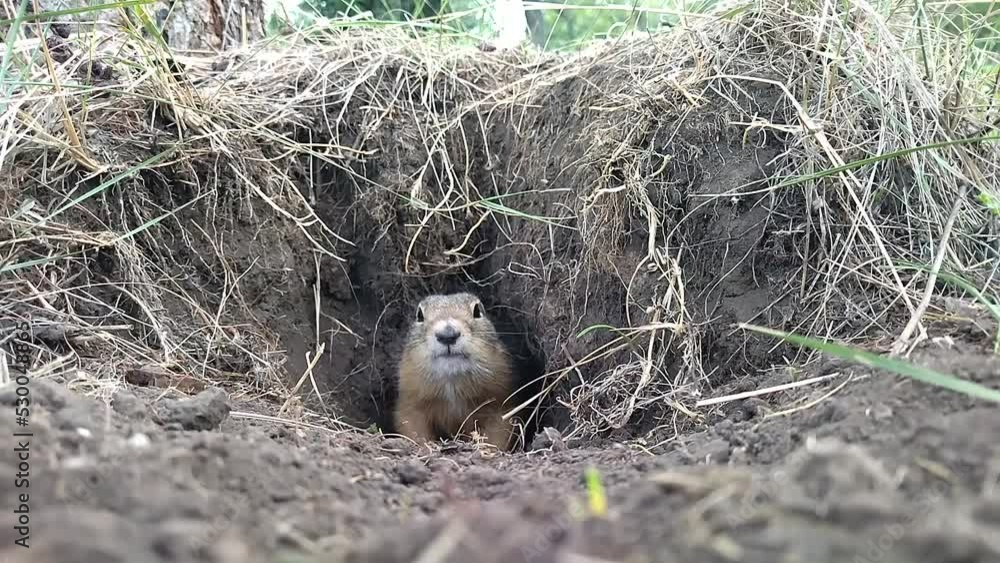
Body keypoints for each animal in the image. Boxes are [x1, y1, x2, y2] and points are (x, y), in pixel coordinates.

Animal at [393, 292, 517, 451]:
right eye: (419, 315)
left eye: (477, 311)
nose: (448, 335)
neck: (452, 384)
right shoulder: (410, 400)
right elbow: (413, 427)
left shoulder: (500, 402)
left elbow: (498, 431)